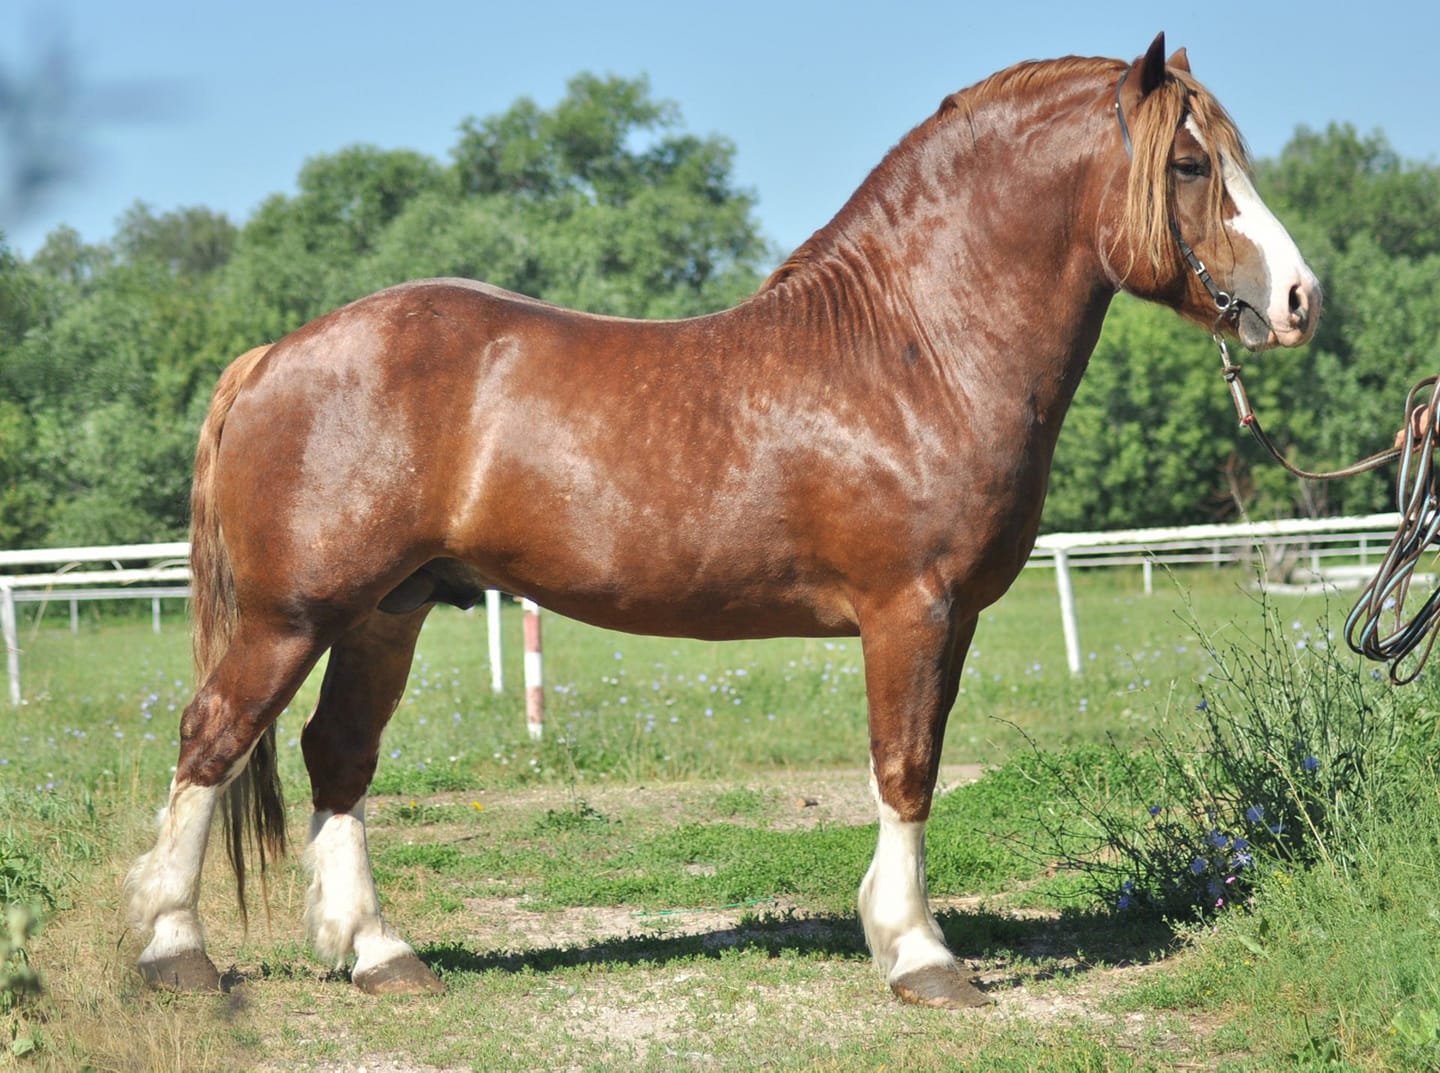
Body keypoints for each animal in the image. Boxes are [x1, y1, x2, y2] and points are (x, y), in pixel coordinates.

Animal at [126, 33, 1320, 1009]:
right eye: (1190, 164)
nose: (1302, 299)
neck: (915, 349)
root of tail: (272, 356)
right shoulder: (911, 611)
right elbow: (907, 769)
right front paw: (920, 954)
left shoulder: (954, 620)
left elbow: (917, 763)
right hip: (292, 616)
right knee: (211, 738)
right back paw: (177, 952)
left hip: (387, 611)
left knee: (338, 756)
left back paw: (379, 954)